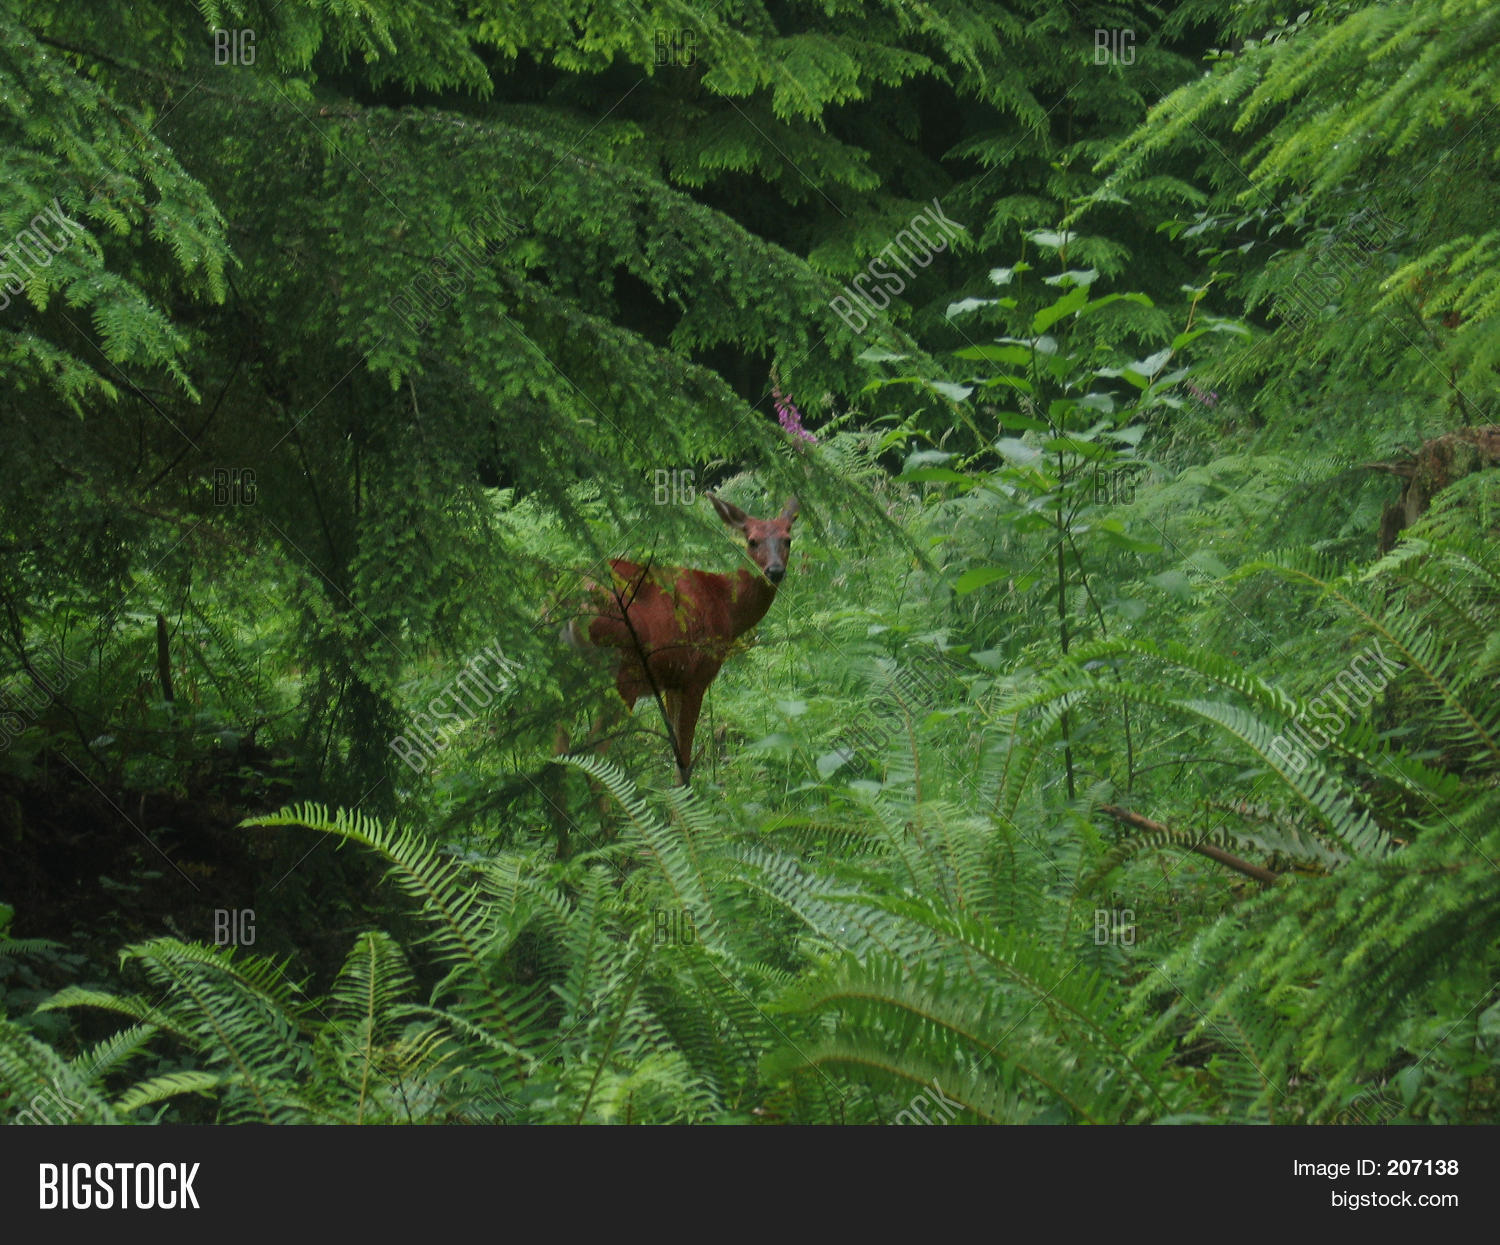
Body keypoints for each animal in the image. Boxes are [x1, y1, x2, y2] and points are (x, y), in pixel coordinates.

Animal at [560, 493, 799, 786]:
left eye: (788, 539)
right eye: (752, 540)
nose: (774, 570)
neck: (726, 605)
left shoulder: (672, 680)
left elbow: (675, 753)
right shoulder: (696, 676)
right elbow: (684, 760)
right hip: (622, 672)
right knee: (594, 755)